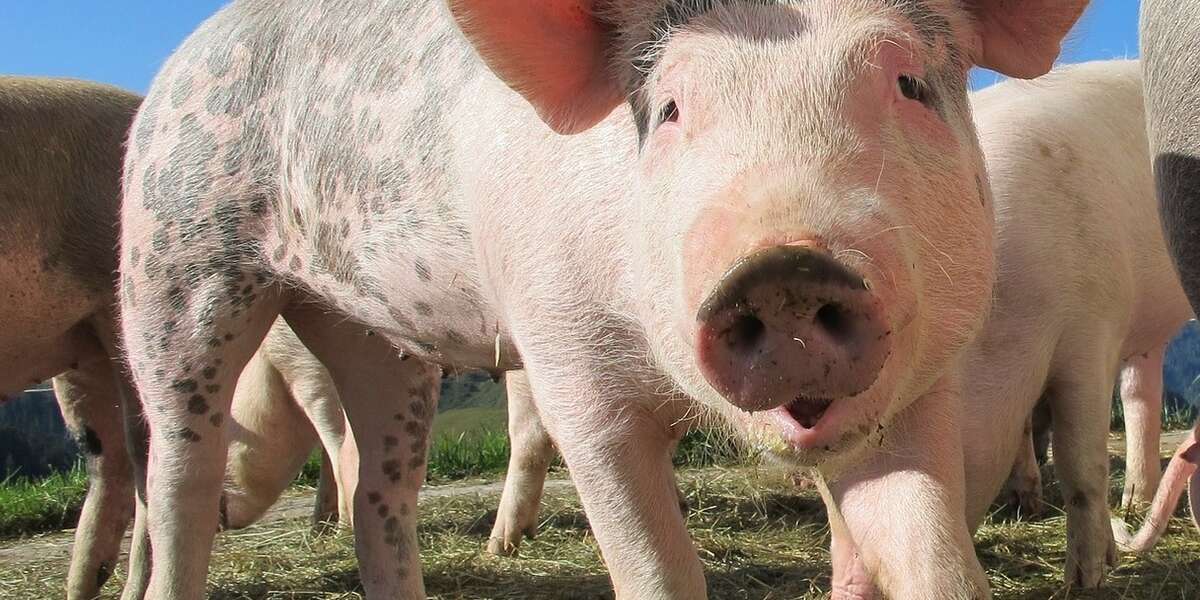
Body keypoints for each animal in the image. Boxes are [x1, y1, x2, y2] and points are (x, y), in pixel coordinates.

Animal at [117, 1, 1084, 597]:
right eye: (670, 108)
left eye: (910, 83)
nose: (785, 268)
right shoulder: (570, 368)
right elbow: (654, 567)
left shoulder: (924, 385)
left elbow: (936, 561)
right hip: (175, 254)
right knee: (178, 478)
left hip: (373, 335)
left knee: (380, 492)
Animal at [832, 59, 1194, 595]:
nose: (847, 583)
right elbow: (1025, 429)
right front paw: (1028, 503)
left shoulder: (1092, 329)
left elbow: (1080, 460)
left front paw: (1085, 581)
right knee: (1141, 393)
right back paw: (1132, 504)